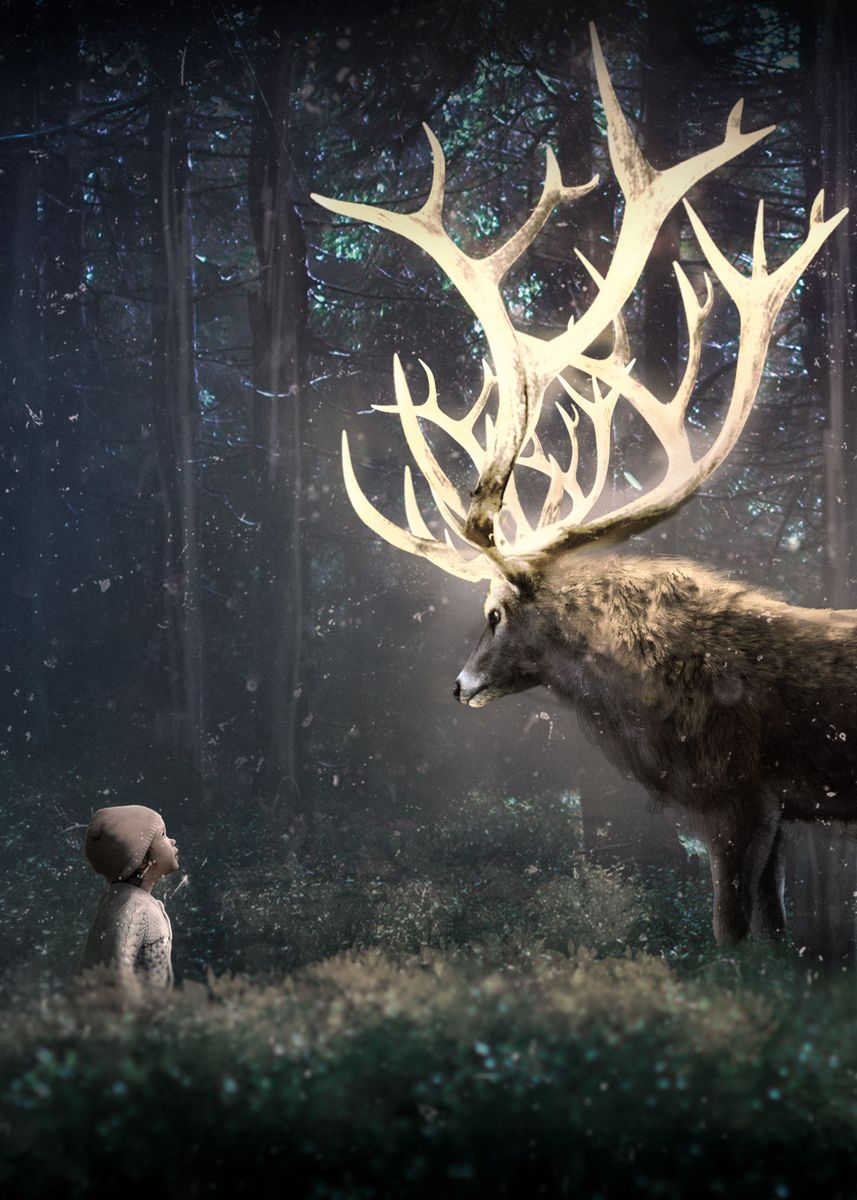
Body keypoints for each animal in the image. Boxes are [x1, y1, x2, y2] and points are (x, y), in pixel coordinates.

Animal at [312, 25, 852, 948]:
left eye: (496, 612)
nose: (458, 686)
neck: (656, 702)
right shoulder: (780, 819)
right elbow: (781, 941)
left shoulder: (739, 800)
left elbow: (732, 939)